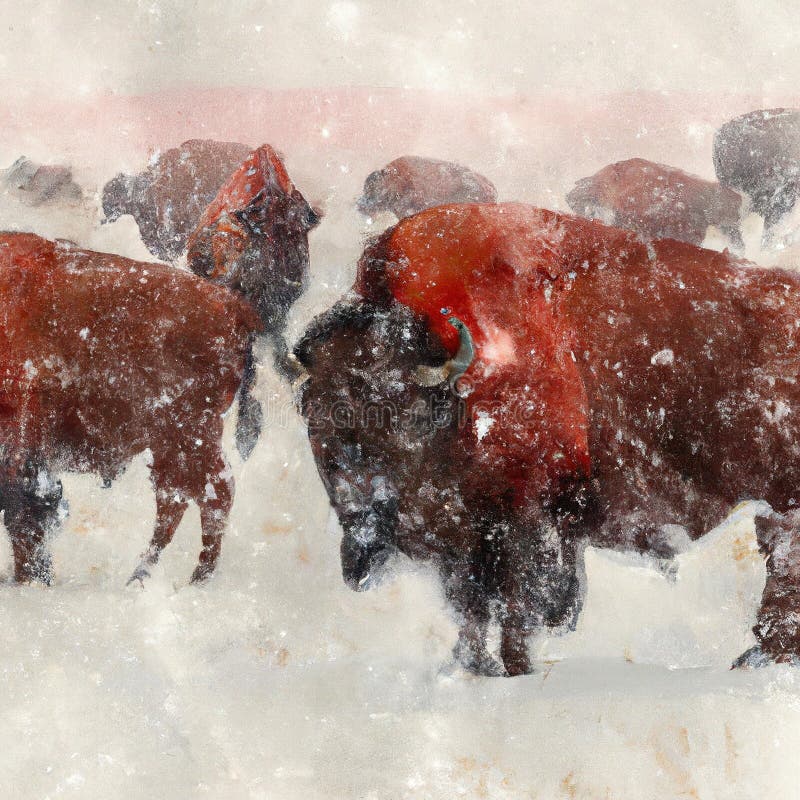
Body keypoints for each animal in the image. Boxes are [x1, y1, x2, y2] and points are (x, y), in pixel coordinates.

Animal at [296, 202, 800, 676]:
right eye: (313, 414)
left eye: (401, 409)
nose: (360, 502)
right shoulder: (473, 540)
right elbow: (474, 606)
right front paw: (471, 667)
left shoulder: (528, 511)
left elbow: (518, 604)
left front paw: (515, 669)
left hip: (781, 503)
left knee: (782, 574)